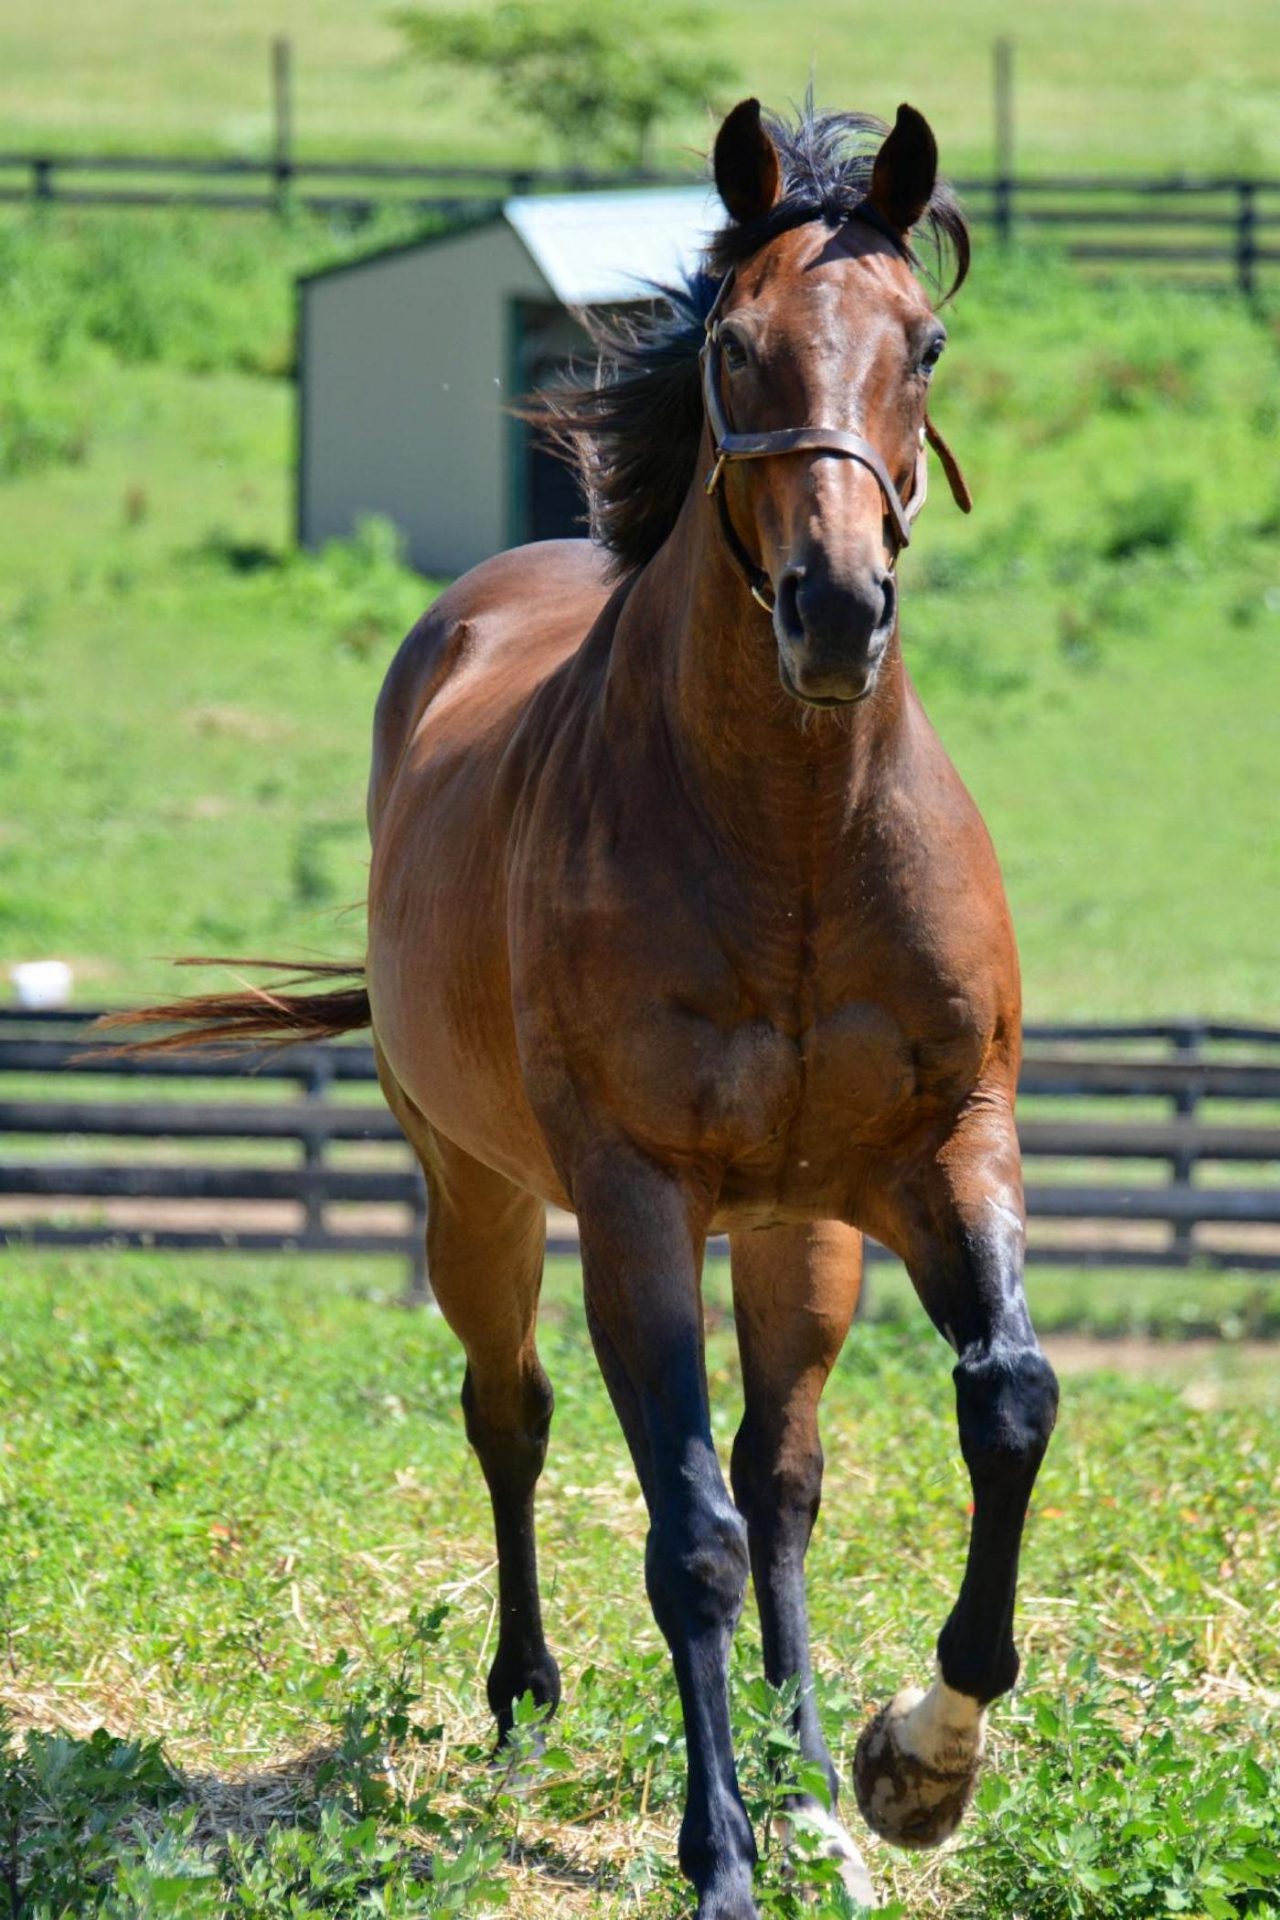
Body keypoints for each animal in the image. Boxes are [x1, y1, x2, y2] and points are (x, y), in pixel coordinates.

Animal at [123, 98, 1059, 1920]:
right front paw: (721, 1860)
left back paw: (806, 1773)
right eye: (737, 348)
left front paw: (910, 1765)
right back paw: (528, 1702)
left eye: (922, 343)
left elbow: (1004, 1406)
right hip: (480, 1201)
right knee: (517, 1420)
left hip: (798, 1233)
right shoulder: (633, 1200)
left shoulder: (946, 1148)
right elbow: (683, 1534)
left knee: (786, 1478)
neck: (794, 839)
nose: (837, 613)